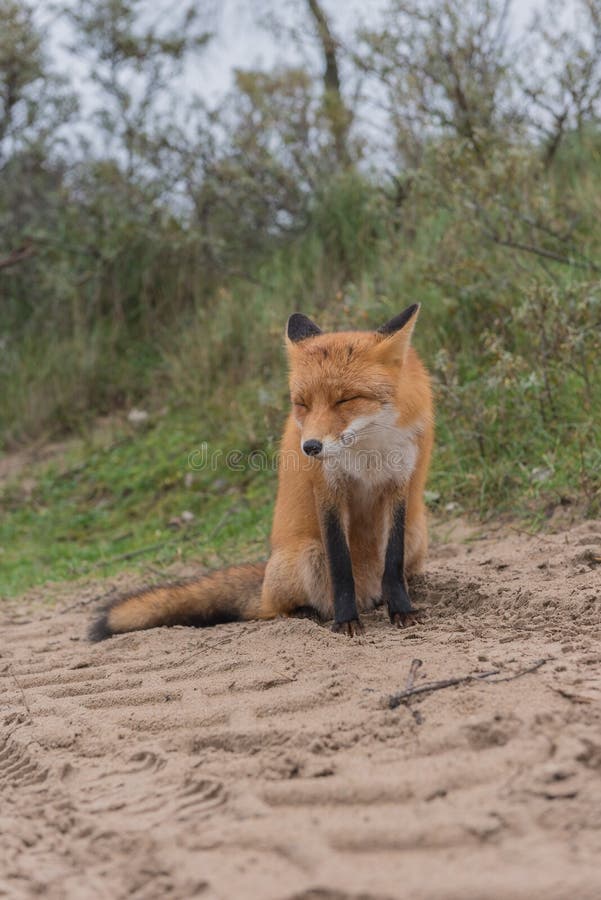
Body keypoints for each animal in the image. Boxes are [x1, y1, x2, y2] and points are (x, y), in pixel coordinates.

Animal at [90, 303, 433, 641]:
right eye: (302, 404)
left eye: (345, 399)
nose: (310, 447)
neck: (367, 452)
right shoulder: (328, 489)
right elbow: (340, 566)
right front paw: (346, 621)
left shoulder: (398, 484)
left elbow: (393, 561)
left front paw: (402, 610)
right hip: (305, 555)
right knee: (278, 607)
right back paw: (306, 613)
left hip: (417, 533)